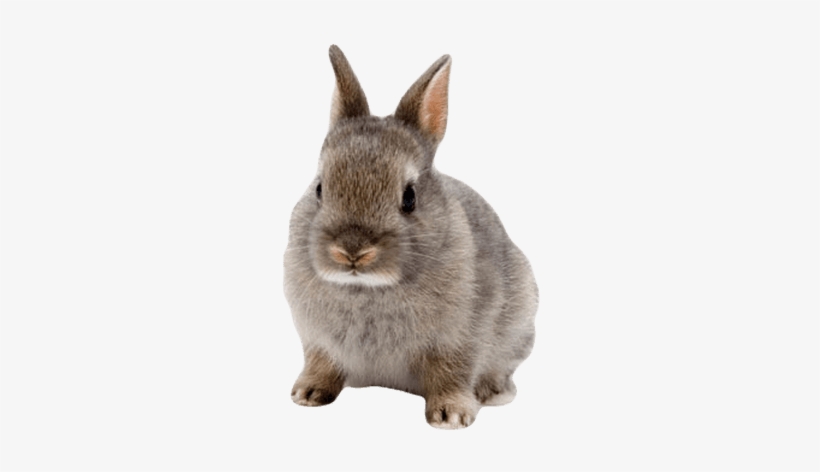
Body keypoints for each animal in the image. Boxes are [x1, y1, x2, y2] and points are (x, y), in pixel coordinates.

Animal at [284, 45, 538, 429]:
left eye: (409, 197)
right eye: (319, 189)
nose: (352, 251)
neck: (368, 288)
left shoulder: (459, 340)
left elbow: (452, 373)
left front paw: (451, 415)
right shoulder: (317, 342)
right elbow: (321, 365)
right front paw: (308, 394)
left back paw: (494, 392)